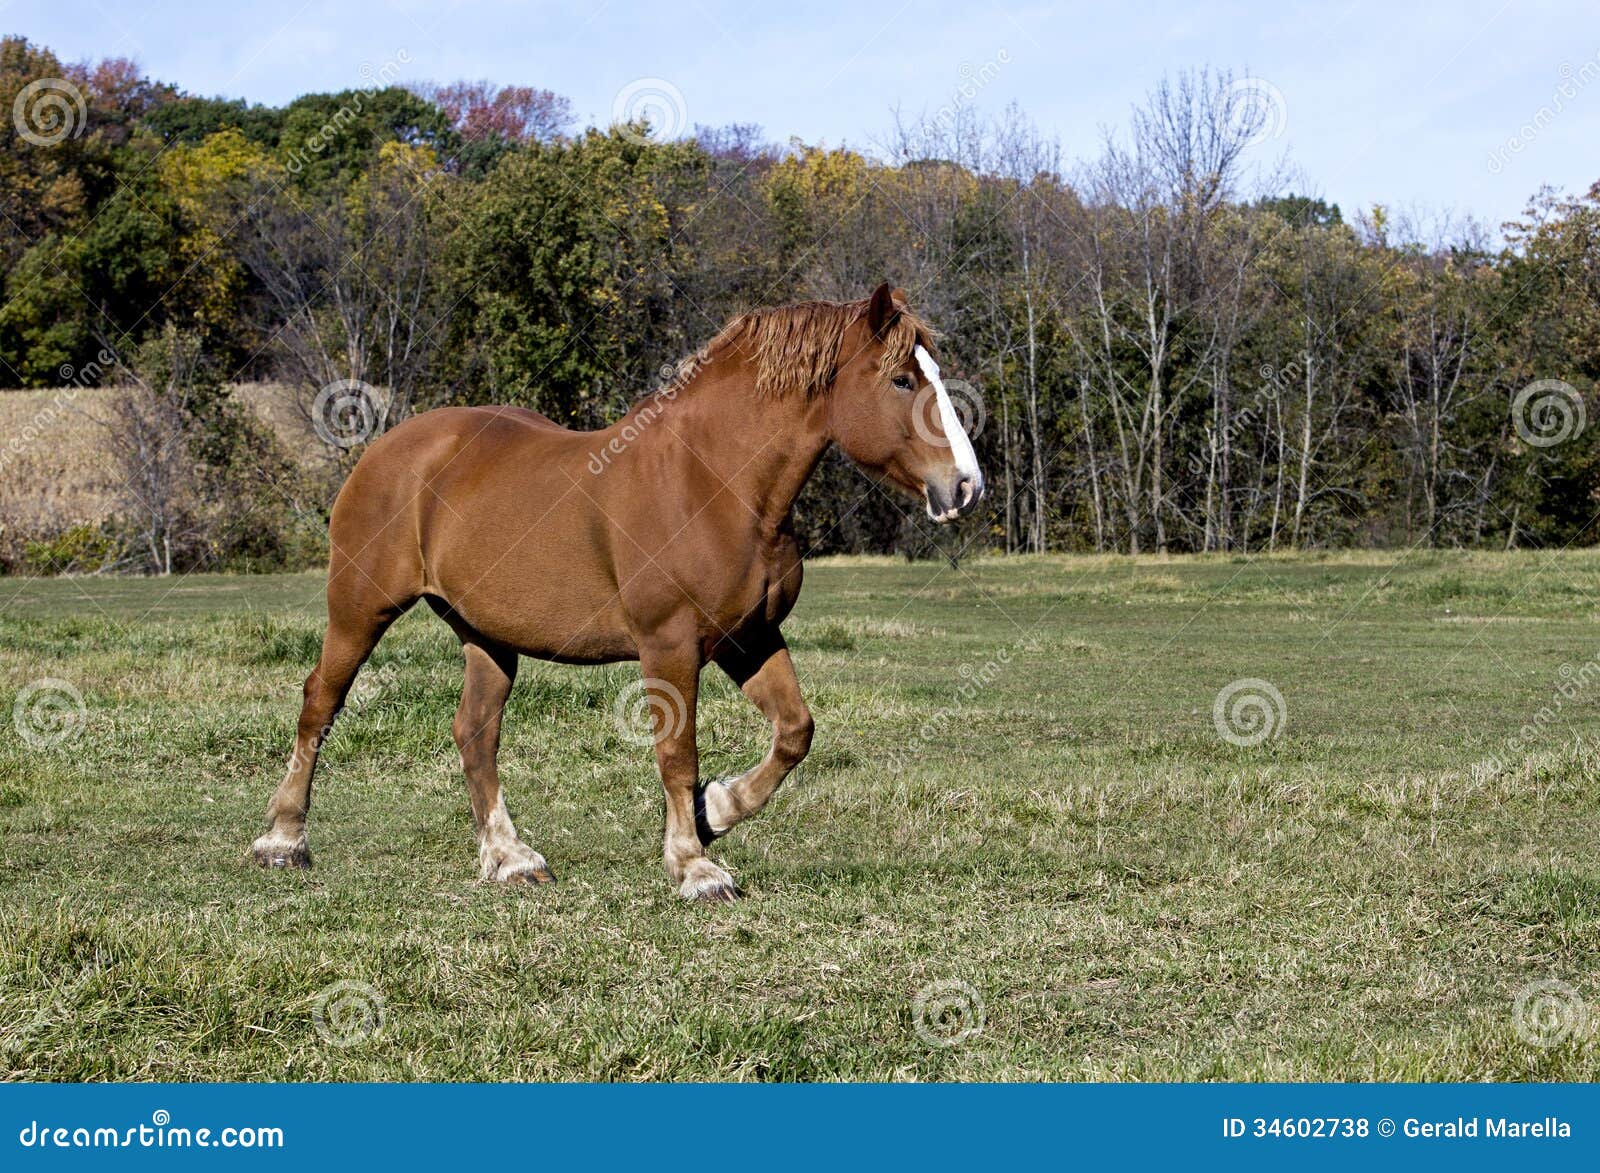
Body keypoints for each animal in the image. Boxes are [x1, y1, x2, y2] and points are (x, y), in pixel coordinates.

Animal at [250, 283, 984, 901]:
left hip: (486, 634)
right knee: (320, 704)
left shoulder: (748, 637)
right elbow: (677, 752)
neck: (712, 481)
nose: (965, 486)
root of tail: (385, 450)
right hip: (359, 607)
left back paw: (510, 857)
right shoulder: (670, 645)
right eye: (902, 378)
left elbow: (794, 731)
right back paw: (284, 838)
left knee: (474, 732)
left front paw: (716, 809)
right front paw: (695, 865)